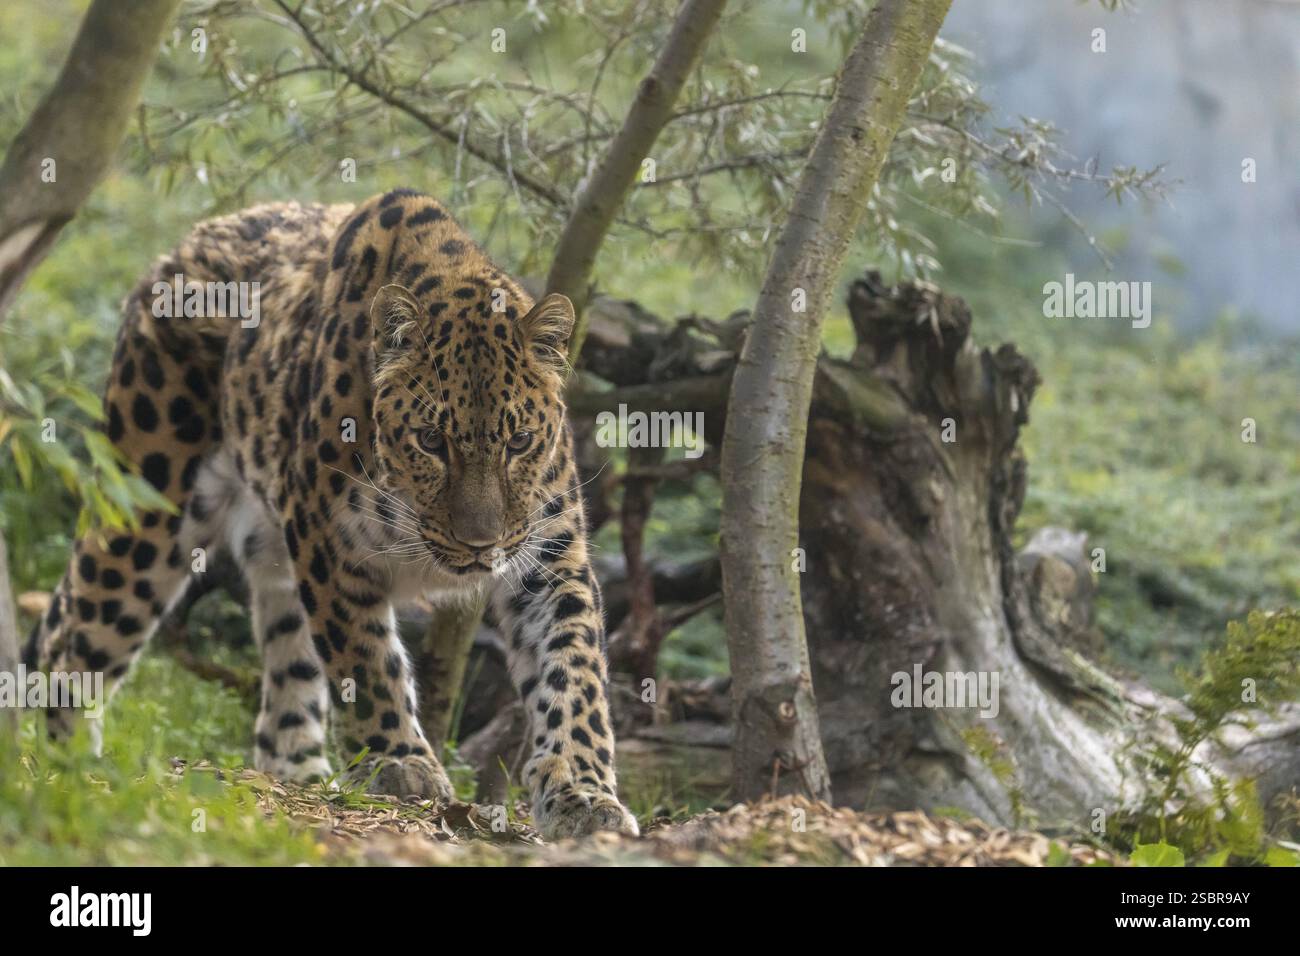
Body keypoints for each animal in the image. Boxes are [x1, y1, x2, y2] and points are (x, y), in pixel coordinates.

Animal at [23, 188, 638, 839]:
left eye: (520, 442)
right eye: (431, 441)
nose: (480, 546)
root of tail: (174, 250)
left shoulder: (549, 559)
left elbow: (573, 673)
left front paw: (583, 793)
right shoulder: (330, 540)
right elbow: (366, 660)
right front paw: (401, 764)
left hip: (272, 548)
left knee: (286, 673)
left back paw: (300, 773)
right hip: (145, 508)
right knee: (75, 631)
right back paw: (72, 772)